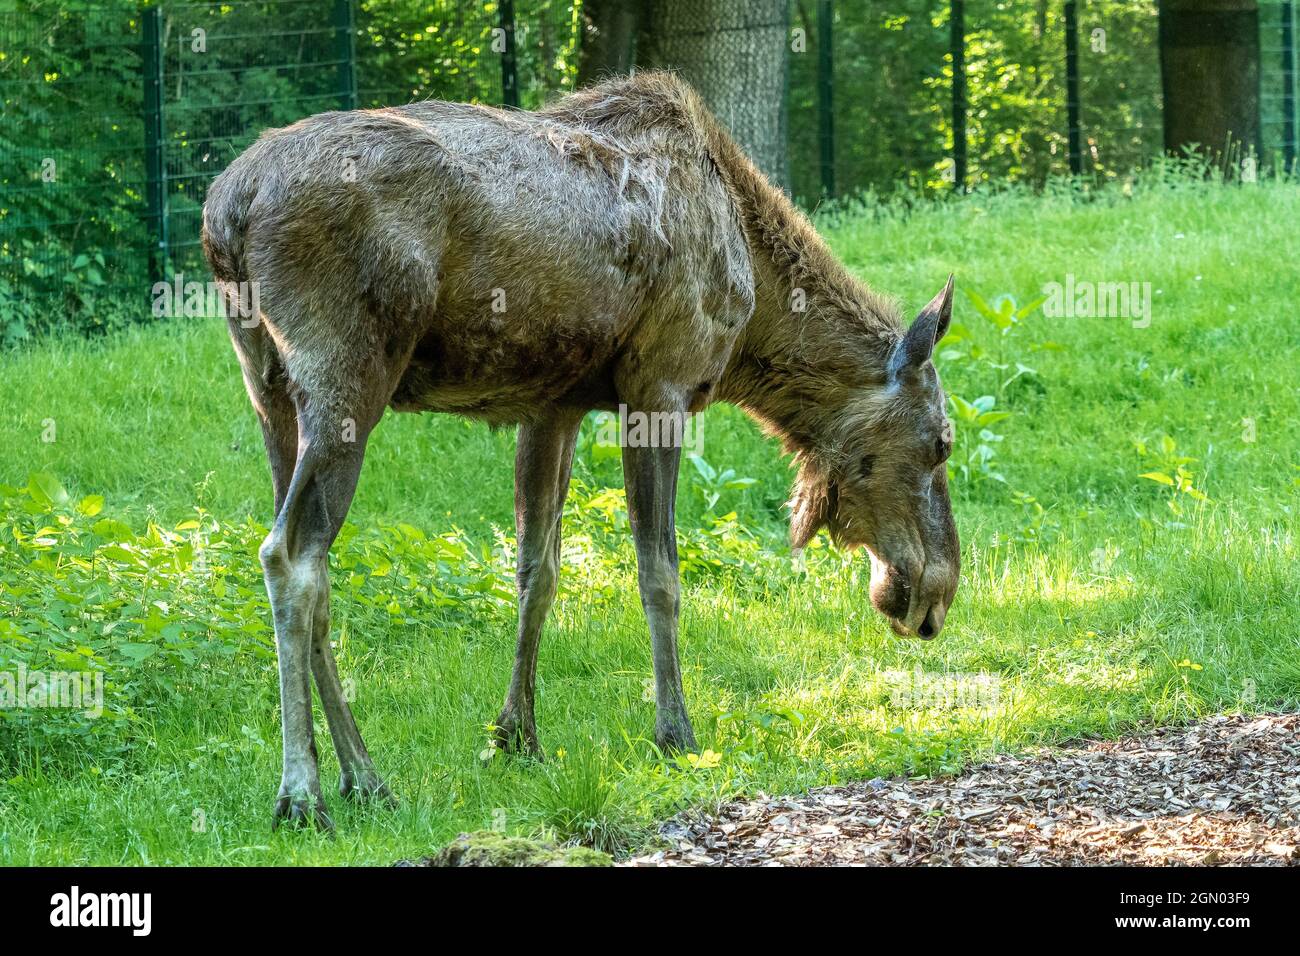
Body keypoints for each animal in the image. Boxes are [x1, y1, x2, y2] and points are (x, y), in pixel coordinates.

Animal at [202, 72, 960, 831]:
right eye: (941, 443)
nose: (937, 593)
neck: (753, 314)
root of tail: (224, 214)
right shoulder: (660, 384)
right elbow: (659, 573)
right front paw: (675, 731)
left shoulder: (553, 404)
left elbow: (536, 572)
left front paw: (516, 735)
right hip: (345, 378)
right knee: (289, 554)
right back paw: (303, 792)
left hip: (268, 390)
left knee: (314, 562)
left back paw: (364, 776)